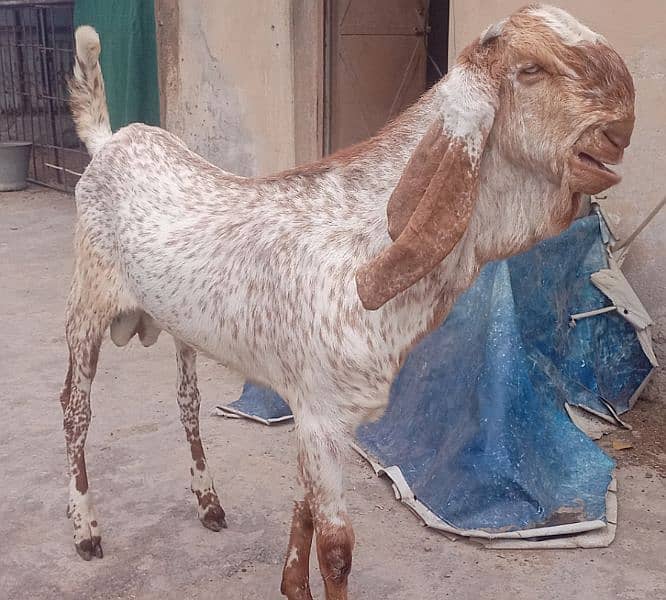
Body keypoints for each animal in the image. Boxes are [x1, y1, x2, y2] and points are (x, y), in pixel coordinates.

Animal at [61, 5, 634, 598]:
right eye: (530, 70)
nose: (619, 132)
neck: (363, 240)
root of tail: (108, 143)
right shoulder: (321, 415)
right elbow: (336, 550)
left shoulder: (325, 418)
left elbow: (306, 507)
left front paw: (291, 586)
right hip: (86, 310)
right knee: (76, 412)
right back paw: (86, 530)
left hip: (181, 332)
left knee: (188, 405)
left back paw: (208, 501)